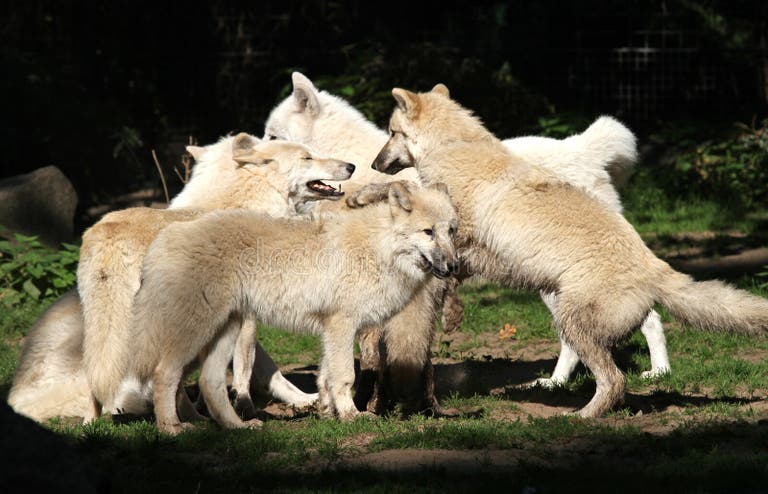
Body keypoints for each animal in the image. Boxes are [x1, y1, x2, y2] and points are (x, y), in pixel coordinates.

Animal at [9, 134, 353, 422]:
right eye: (307, 157)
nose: (351, 165)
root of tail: (111, 237)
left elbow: (265, 368)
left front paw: (301, 399)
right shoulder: (248, 316)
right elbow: (247, 365)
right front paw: (245, 408)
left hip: (103, 329)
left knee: (103, 375)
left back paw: (94, 423)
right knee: (163, 374)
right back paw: (189, 420)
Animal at [116, 183, 457, 434]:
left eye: (451, 231)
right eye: (428, 232)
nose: (454, 266)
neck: (379, 248)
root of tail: (162, 238)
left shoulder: (330, 331)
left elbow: (324, 378)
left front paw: (327, 413)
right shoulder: (342, 325)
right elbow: (344, 377)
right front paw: (351, 415)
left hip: (223, 334)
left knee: (208, 385)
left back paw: (234, 426)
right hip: (195, 334)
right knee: (164, 376)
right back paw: (171, 428)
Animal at [371, 84, 768, 417]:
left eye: (390, 132)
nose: (373, 164)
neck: (454, 146)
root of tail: (654, 267)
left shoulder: (461, 244)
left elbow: (445, 262)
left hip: (570, 318)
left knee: (614, 380)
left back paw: (582, 416)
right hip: (562, 305)